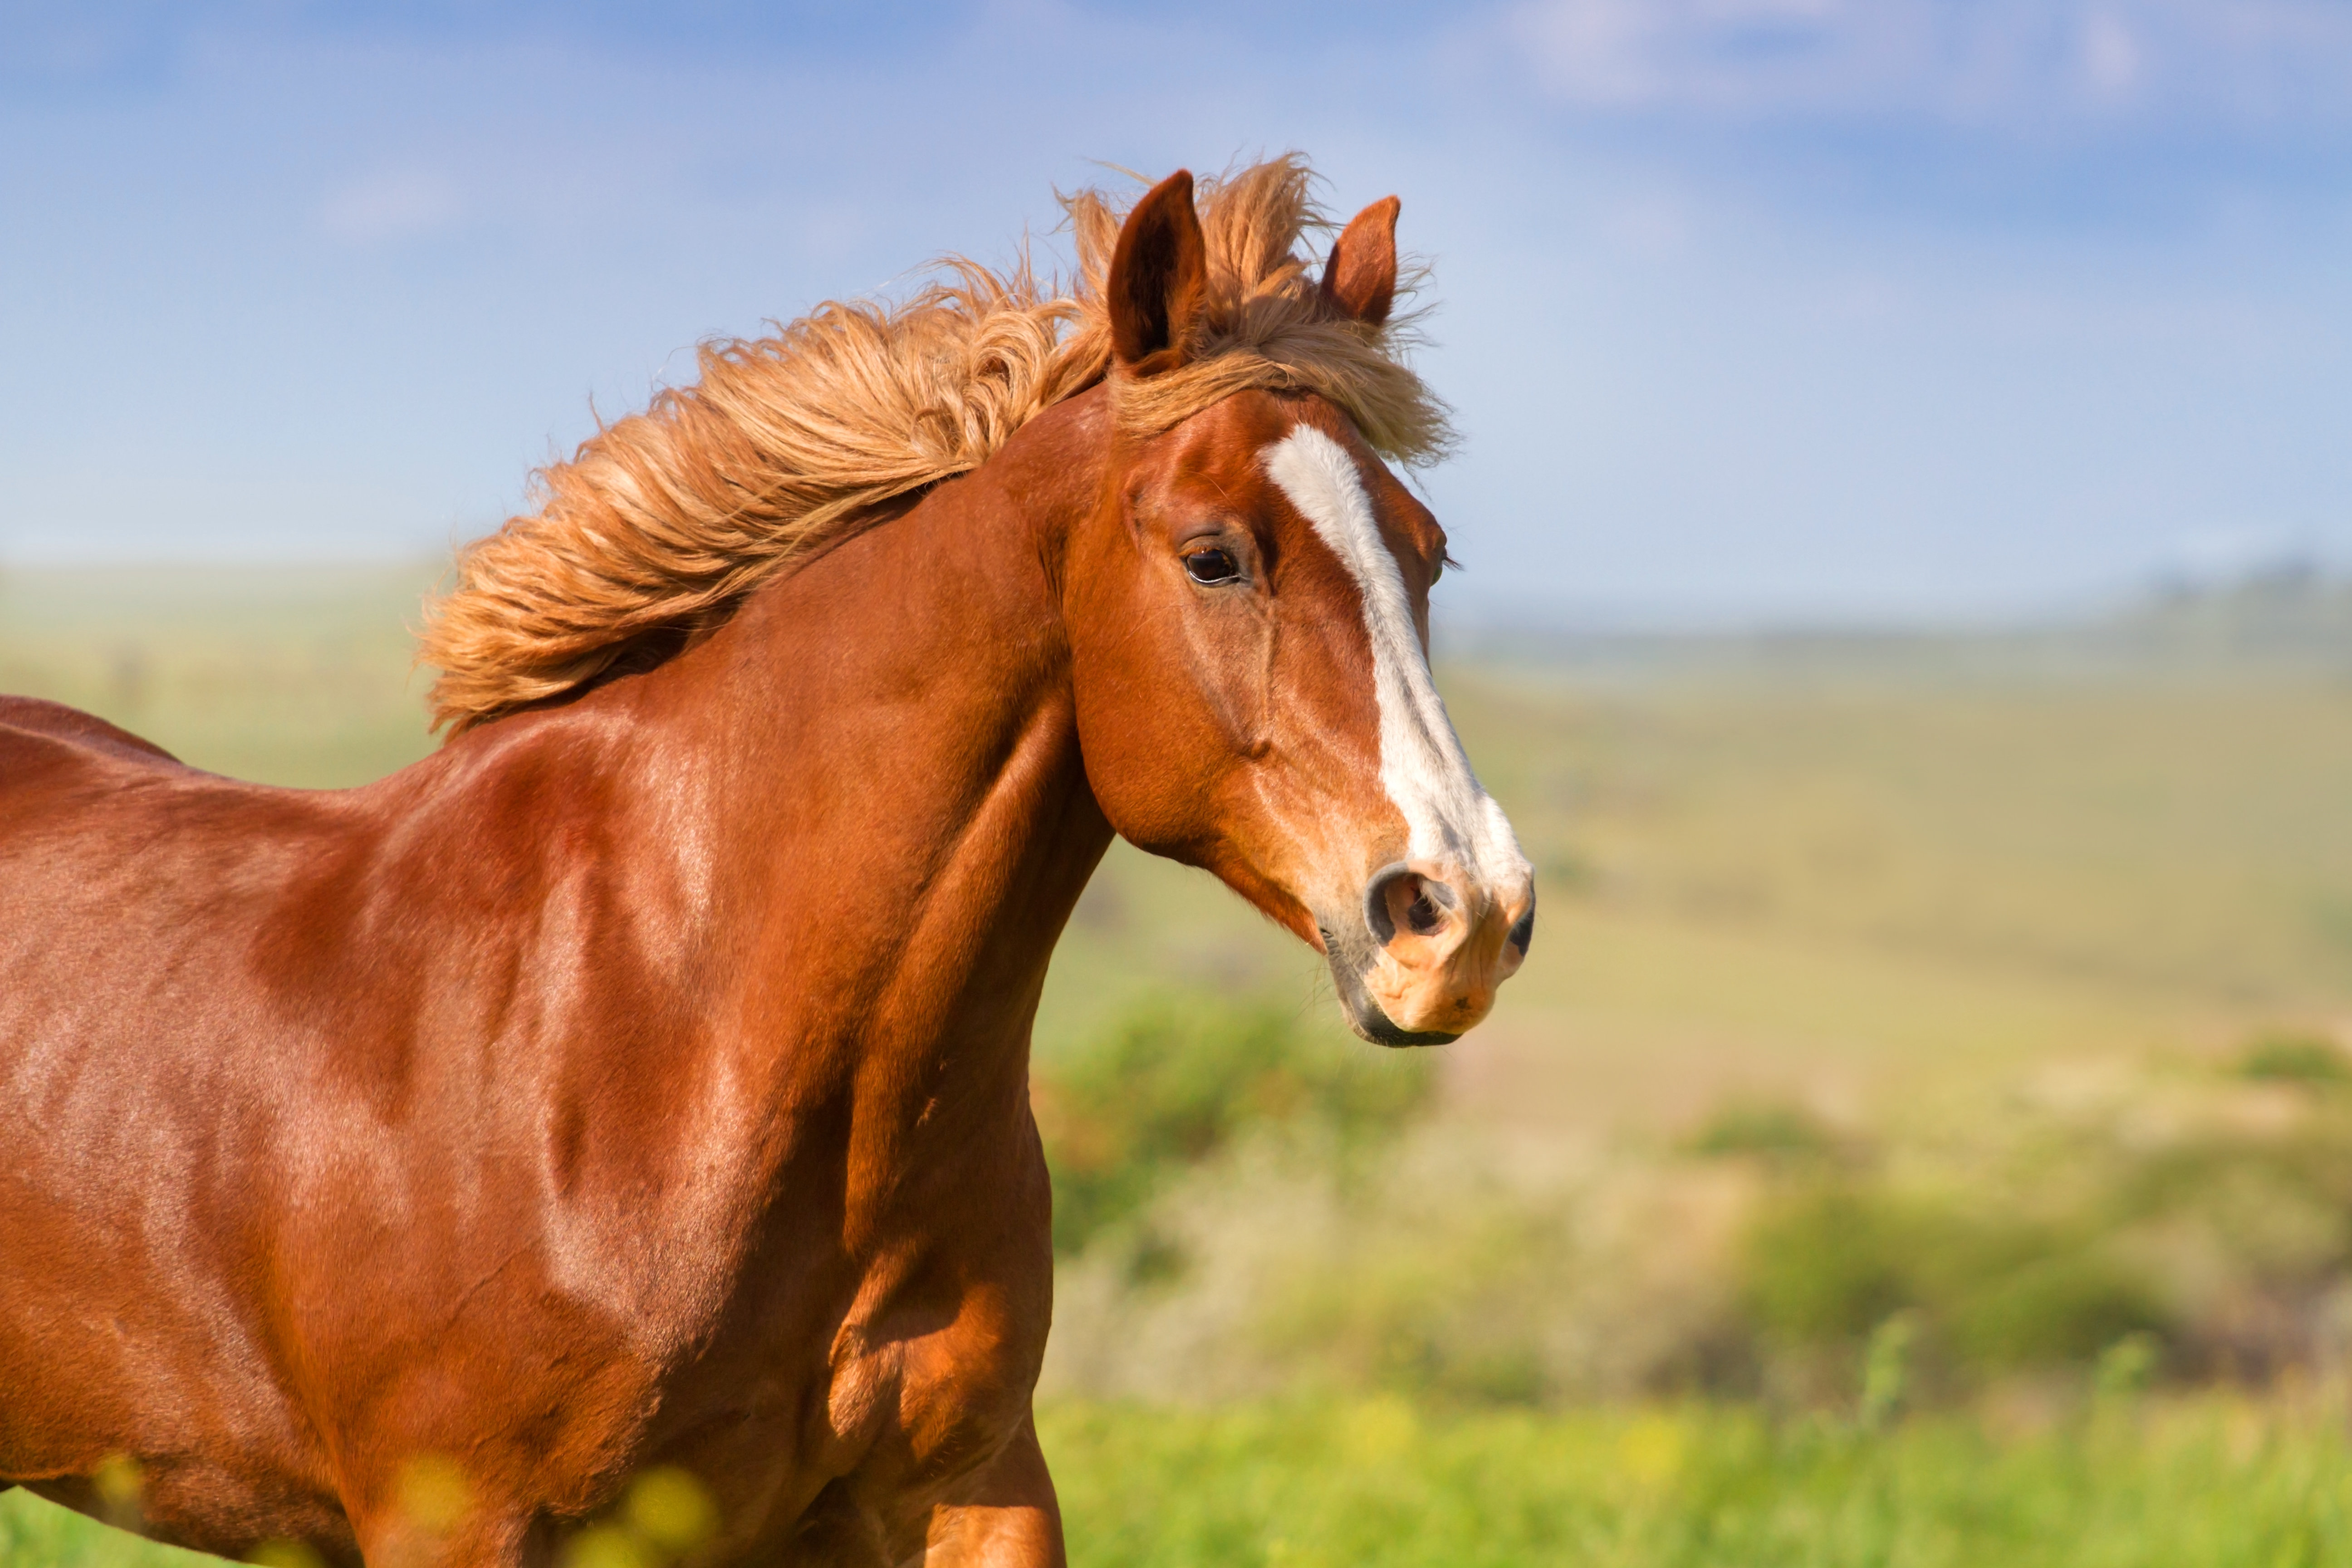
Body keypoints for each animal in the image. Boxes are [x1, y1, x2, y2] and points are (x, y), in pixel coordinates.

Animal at [0, 157, 1534, 1566]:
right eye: (1216, 556)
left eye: (1428, 552)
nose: (1461, 920)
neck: (668, 1036)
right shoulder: (454, 1524)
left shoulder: (964, 1489)